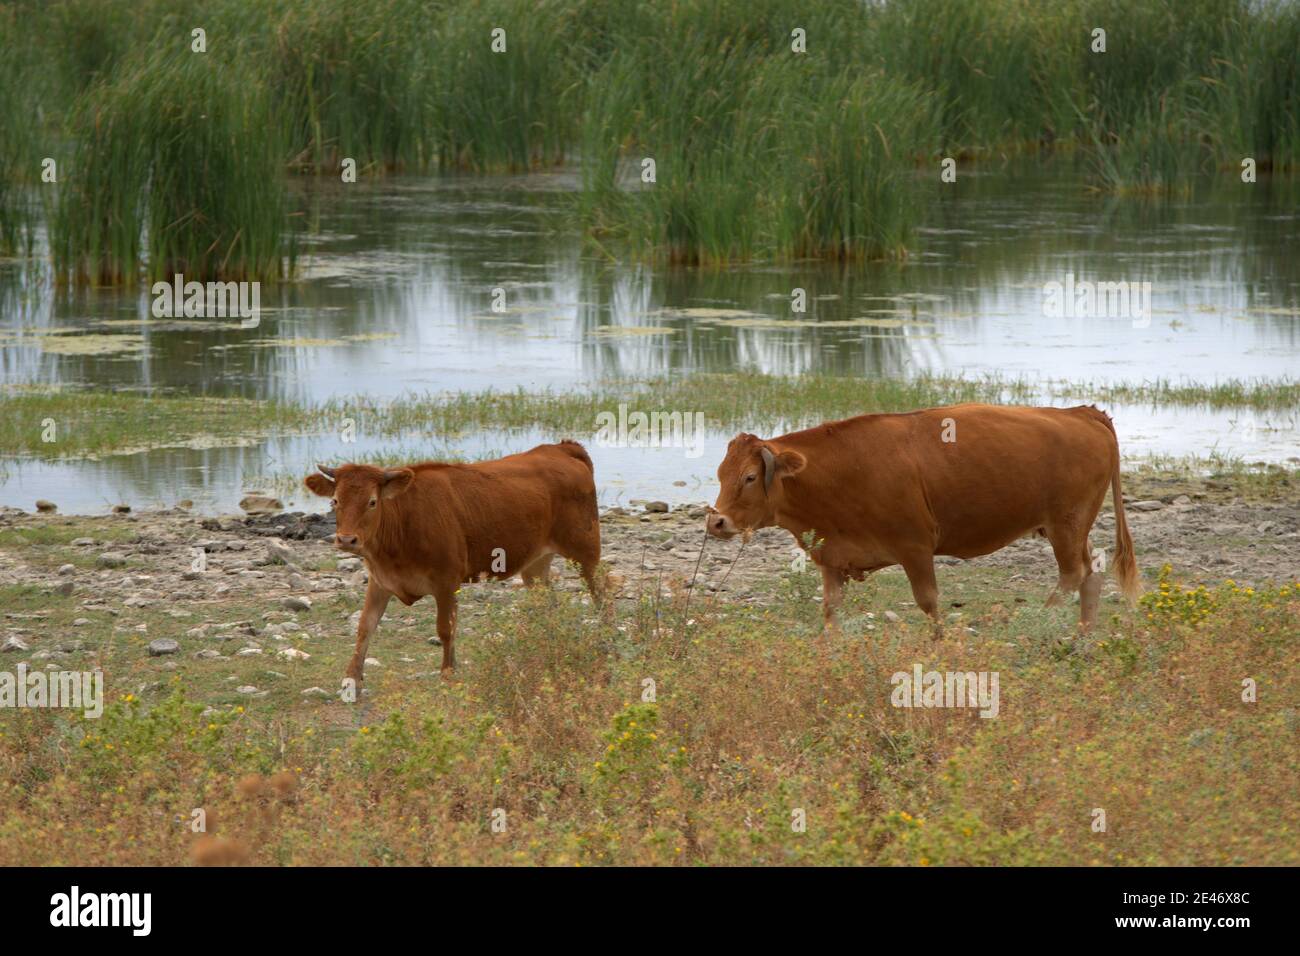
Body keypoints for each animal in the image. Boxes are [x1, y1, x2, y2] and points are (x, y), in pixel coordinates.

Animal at [303, 440, 602, 682]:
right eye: (335, 501)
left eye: (373, 502)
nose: (346, 540)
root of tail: (559, 448)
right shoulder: (379, 581)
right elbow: (365, 626)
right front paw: (351, 679)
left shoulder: (446, 581)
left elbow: (445, 628)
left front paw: (448, 672)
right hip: (536, 563)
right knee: (547, 605)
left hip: (586, 551)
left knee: (602, 593)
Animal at [706, 404, 1140, 632]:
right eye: (721, 473)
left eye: (749, 477)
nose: (716, 522)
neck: (840, 471)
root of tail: (1081, 413)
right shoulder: (833, 558)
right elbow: (830, 611)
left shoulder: (915, 548)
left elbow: (929, 603)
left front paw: (938, 646)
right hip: (1068, 526)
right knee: (1092, 570)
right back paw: (1082, 635)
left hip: (1066, 524)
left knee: (1073, 574)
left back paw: (1036, 624)